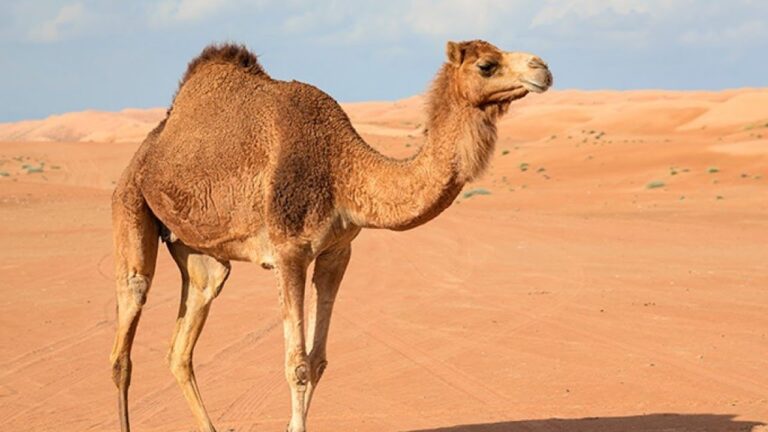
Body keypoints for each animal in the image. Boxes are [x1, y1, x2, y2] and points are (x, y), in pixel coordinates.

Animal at [109, 40, 552, 432]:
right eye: (487, 65)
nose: (542, 68)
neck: (342, 168)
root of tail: (150, 146)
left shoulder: (337, 252)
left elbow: (318, 360)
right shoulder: (288, 250)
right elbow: (297, 365)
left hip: (200, 254)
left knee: (182, 344)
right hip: (130, 203)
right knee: (126, 333)